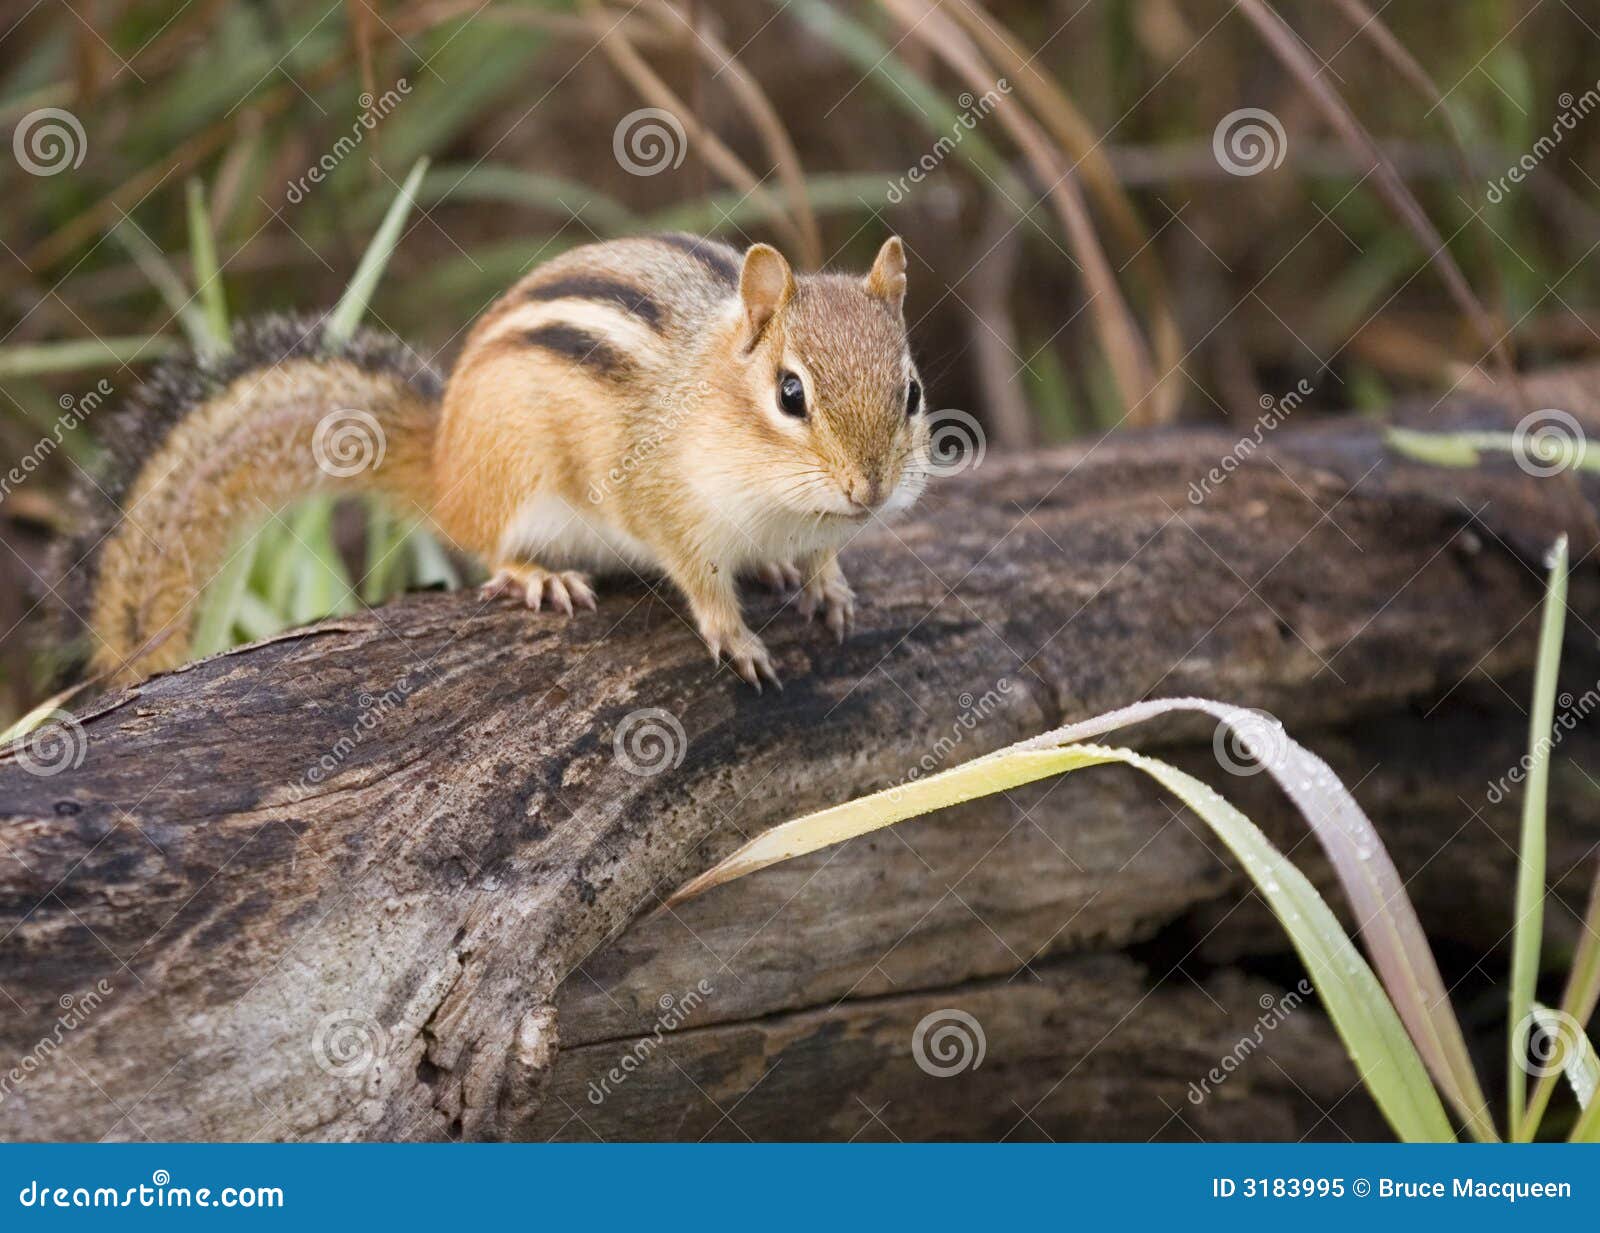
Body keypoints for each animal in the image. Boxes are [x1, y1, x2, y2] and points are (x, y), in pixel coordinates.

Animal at [60, 233, 931, 691]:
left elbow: (819, 556)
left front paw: (825, 586)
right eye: (790, 393)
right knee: (487, 547)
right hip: (517, 482)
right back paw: (536, 576)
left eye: (913, 391)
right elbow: (699, 580)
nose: (869, 487)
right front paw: (738, 639)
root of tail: (445, 462)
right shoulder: (666, 501)